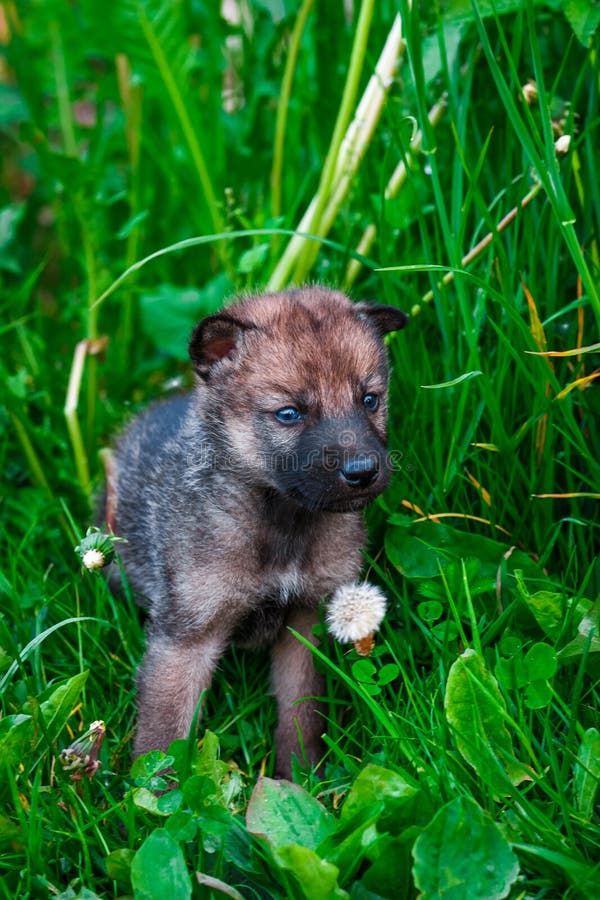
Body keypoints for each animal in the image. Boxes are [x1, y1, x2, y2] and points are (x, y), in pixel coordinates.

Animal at [107, 286, 406, 777]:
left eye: (369, 400)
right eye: (289, 413)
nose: (363, 471)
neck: (284, 526)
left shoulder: (304, 622)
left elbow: (301, 715)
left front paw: (300, 781)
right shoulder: (187, 637)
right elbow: (162, 737)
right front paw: (154, 796)